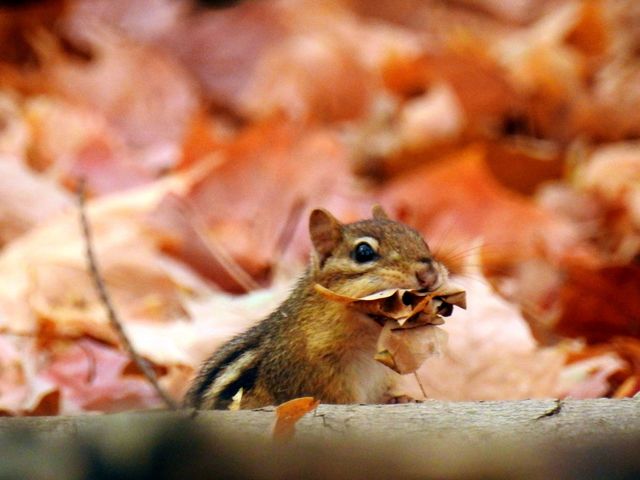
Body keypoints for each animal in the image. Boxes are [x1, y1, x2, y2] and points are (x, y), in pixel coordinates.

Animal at [184, 205, 451, 410]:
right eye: (363, 252)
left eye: (419, 237)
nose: (429, 273)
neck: (369, 339)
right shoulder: (311, 373)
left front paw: (398, 398)